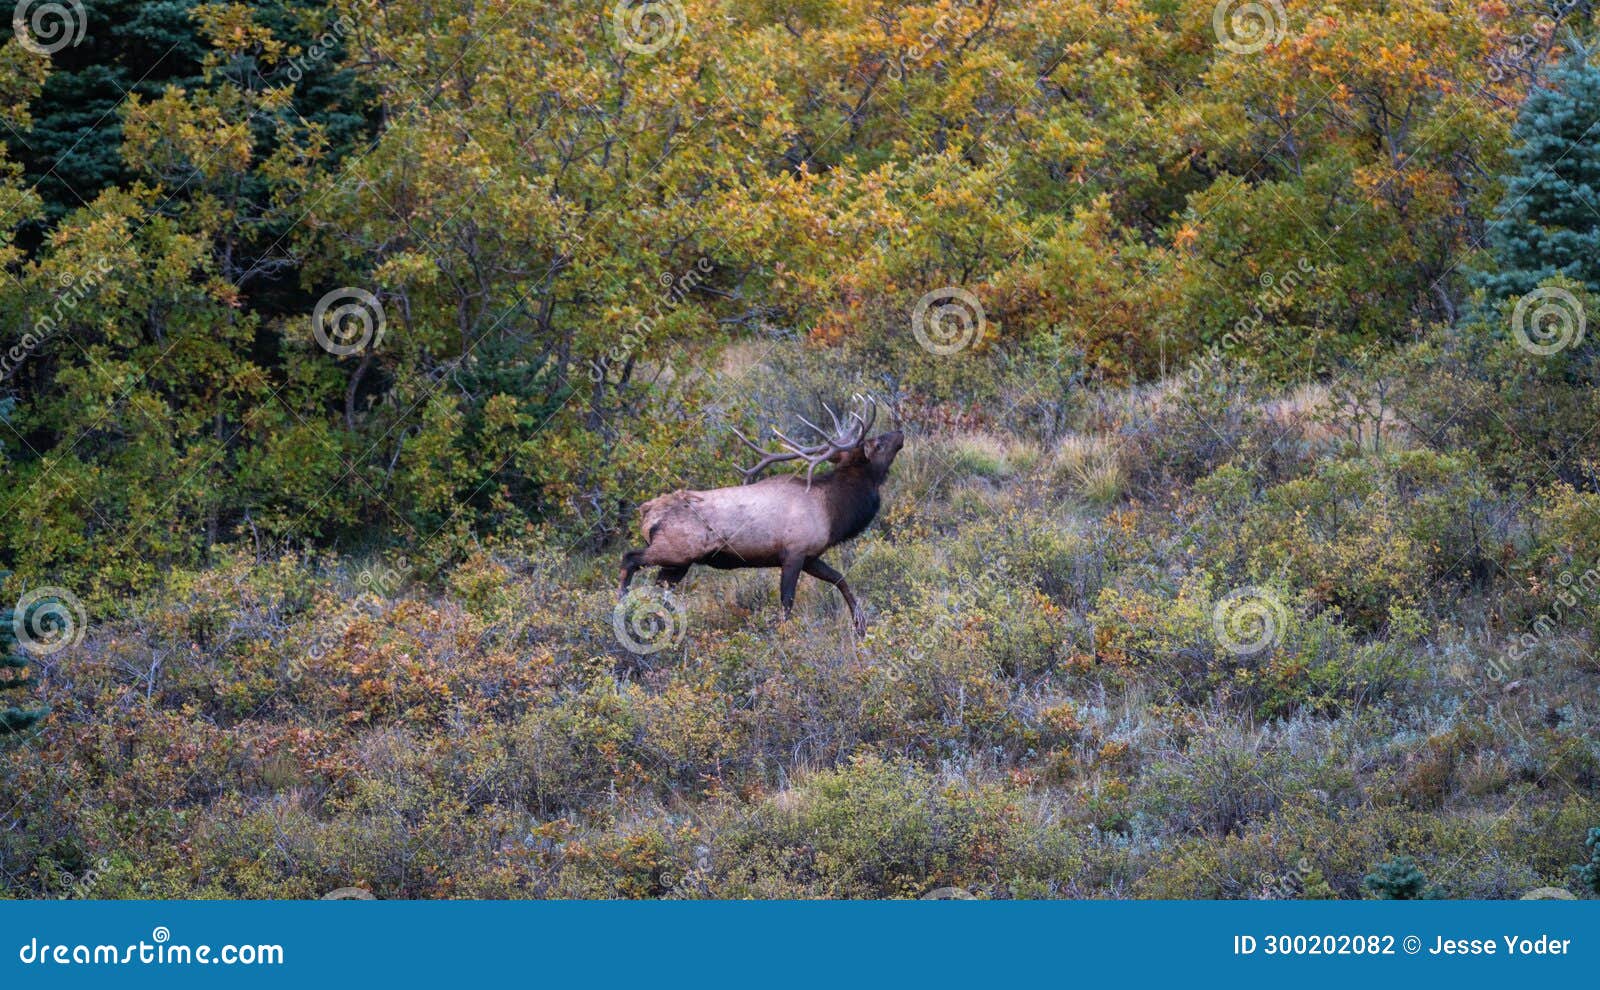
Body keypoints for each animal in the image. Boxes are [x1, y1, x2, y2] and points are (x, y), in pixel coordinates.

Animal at [617, 396, 904, 634]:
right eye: (877, 443)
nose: (900, 432)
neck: (833, 511)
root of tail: (646, 512)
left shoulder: (811, 556)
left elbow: (841, 580)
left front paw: (861, 627)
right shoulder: (794, 552)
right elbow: (786, 604)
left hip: (678, 563)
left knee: (659, 587)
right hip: (677, 549)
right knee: (629, 558)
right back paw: (621, 606)